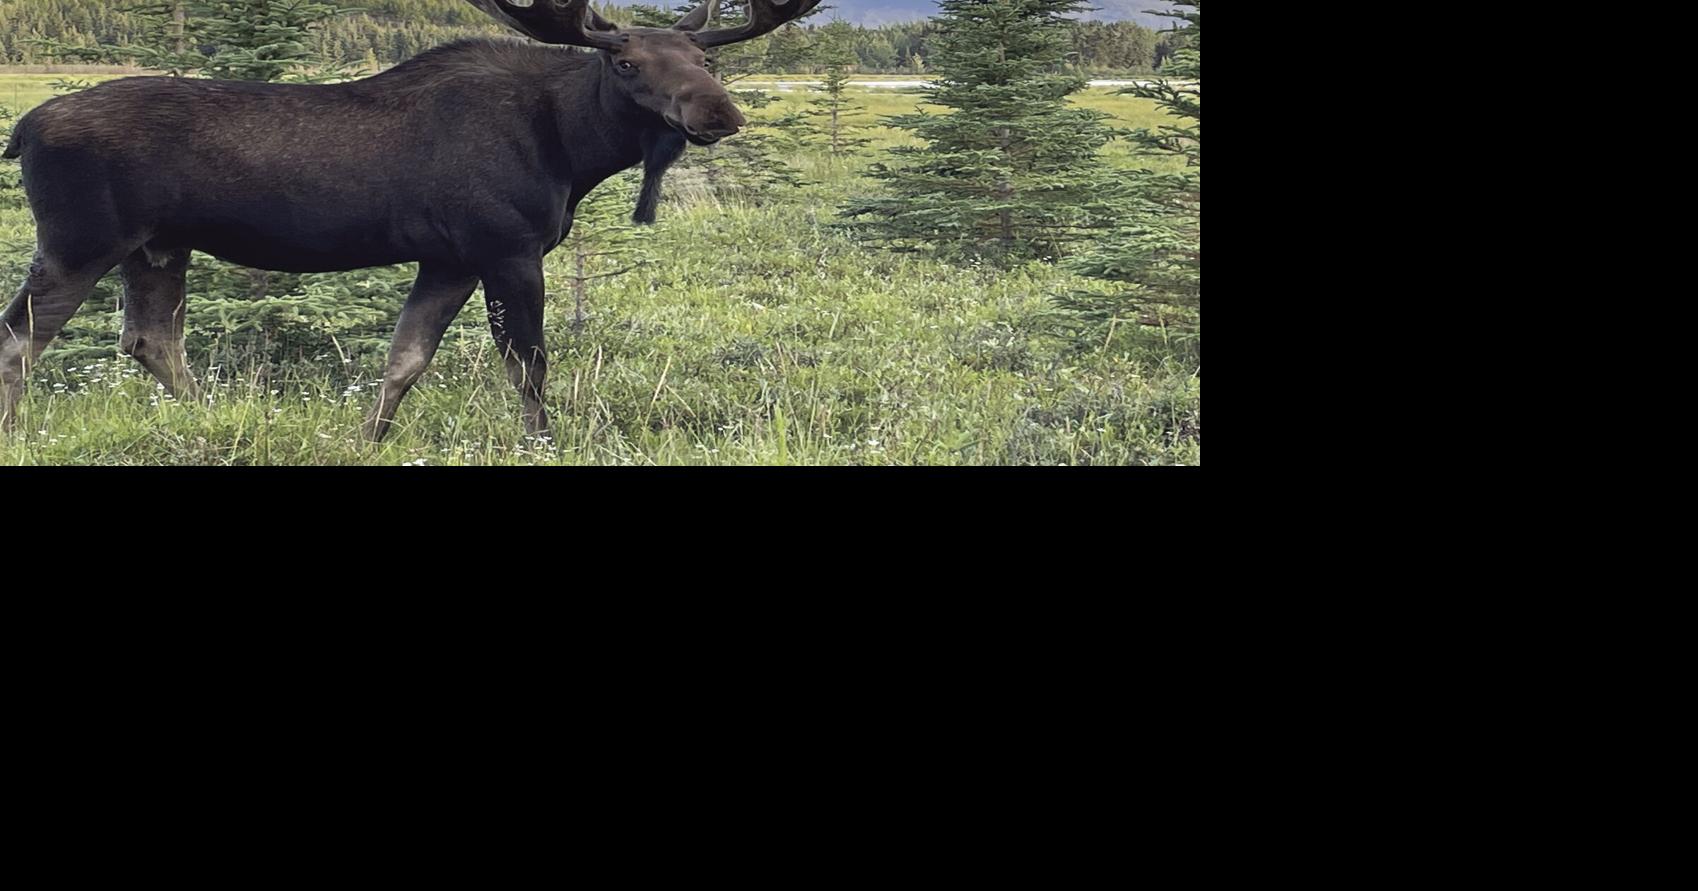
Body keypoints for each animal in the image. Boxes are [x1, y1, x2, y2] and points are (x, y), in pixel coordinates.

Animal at [1, 0, 821, 441]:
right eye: (627, 64)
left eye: (704, 61)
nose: (717, 112)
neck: (571, 150)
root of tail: (21, 130)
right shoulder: (506, 245)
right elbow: (528, 363)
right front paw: (542, 441)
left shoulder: (449, 257)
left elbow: (405, 359)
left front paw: (369, 437)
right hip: (79, 240)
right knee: (21, 336)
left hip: (157, 247)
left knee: (149, 339)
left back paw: (210, 419)